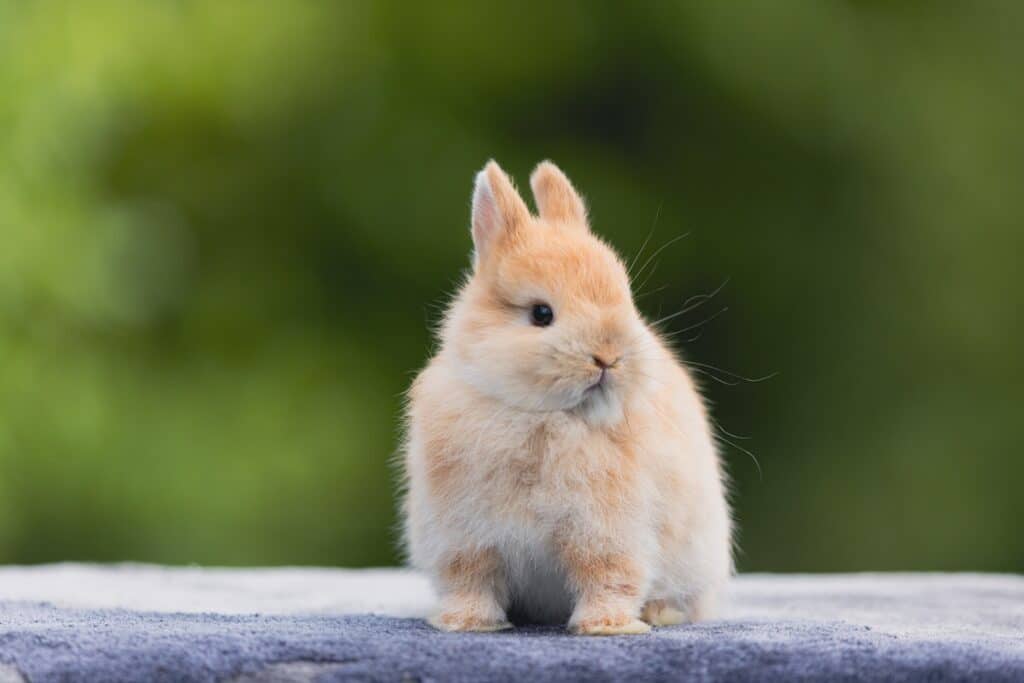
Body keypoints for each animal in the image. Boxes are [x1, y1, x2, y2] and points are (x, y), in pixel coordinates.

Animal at [400, 160, 732, 636]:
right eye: (542, 314)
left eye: (625, 298)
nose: (609, 356)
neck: (544, 416)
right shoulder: (466, 541)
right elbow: (471, 582)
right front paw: (467, 623)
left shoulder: (609, 535)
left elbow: (609, 579)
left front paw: (607, 626)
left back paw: (659, 613)